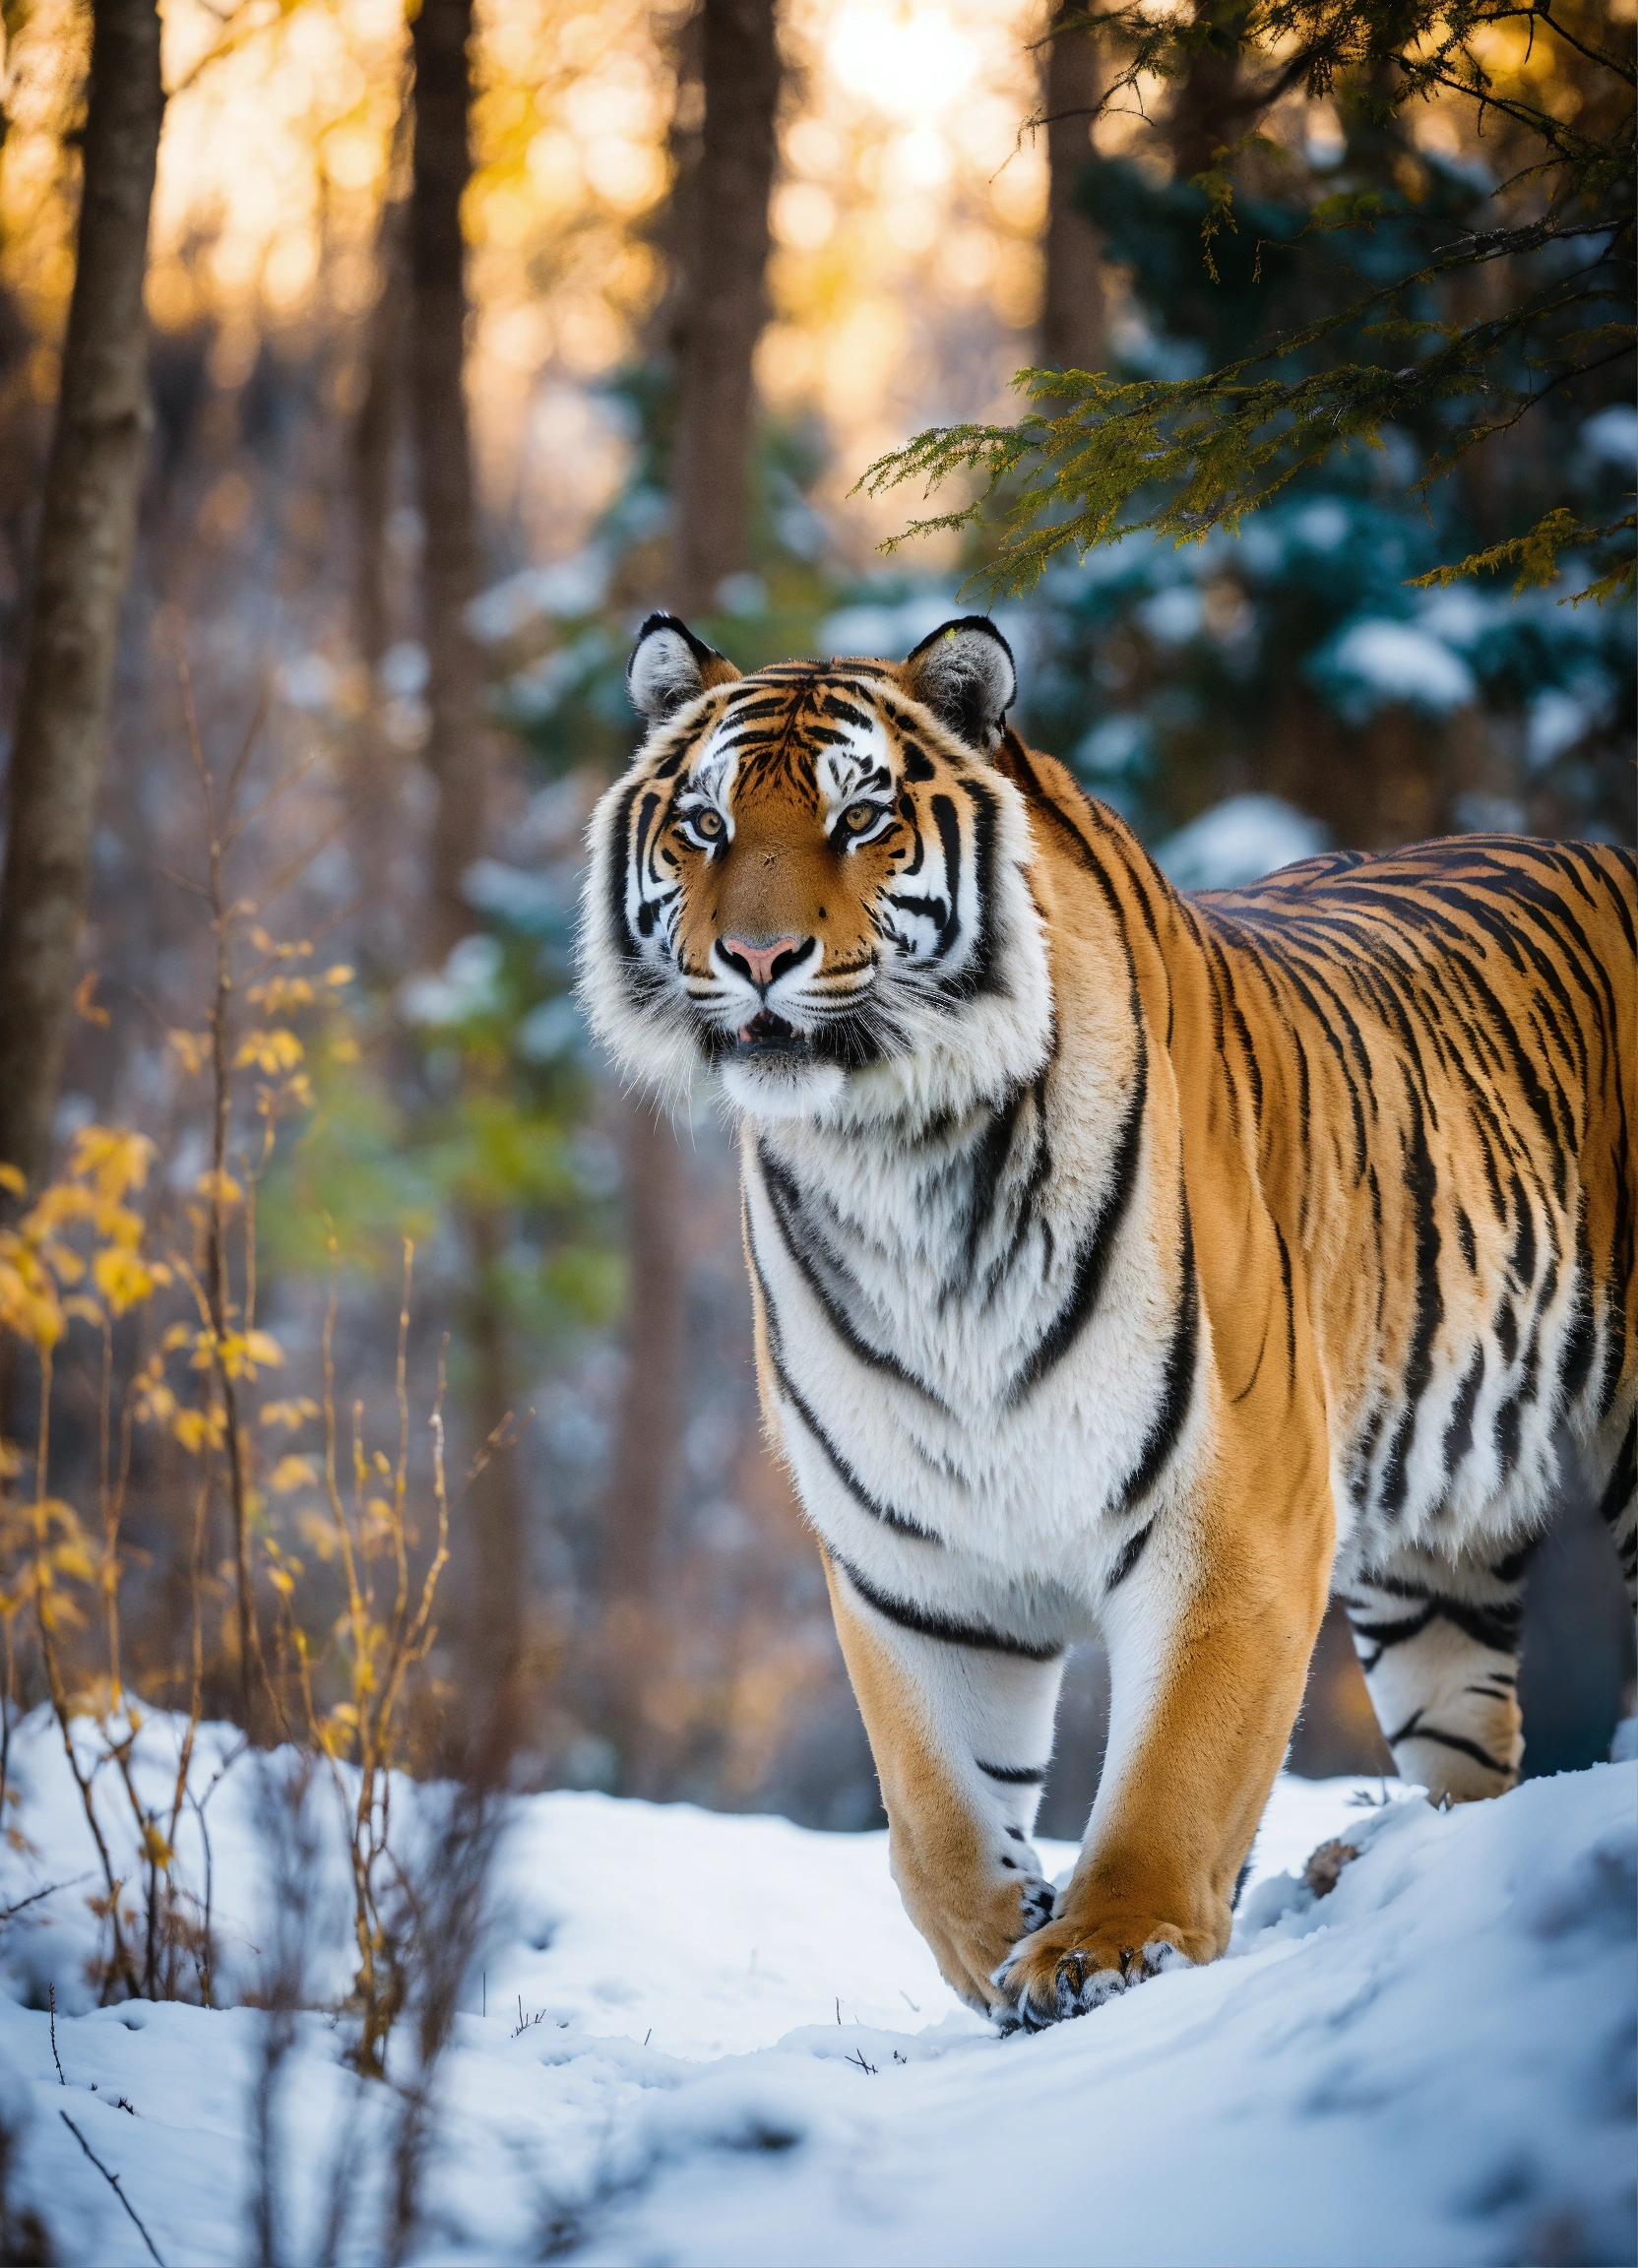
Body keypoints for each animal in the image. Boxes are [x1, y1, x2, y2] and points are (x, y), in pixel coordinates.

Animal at [578, 609, 1637, 2030]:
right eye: (703, 825)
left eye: (861, 819)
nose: (754, 961)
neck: (898, 1162)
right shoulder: (911, 1561)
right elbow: (932, 1815)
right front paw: (997, 1940)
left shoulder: (1236, 1513)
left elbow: (1175, 1765)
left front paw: (1104, 1946)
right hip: (1430, 1549)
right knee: (1470, 1739)